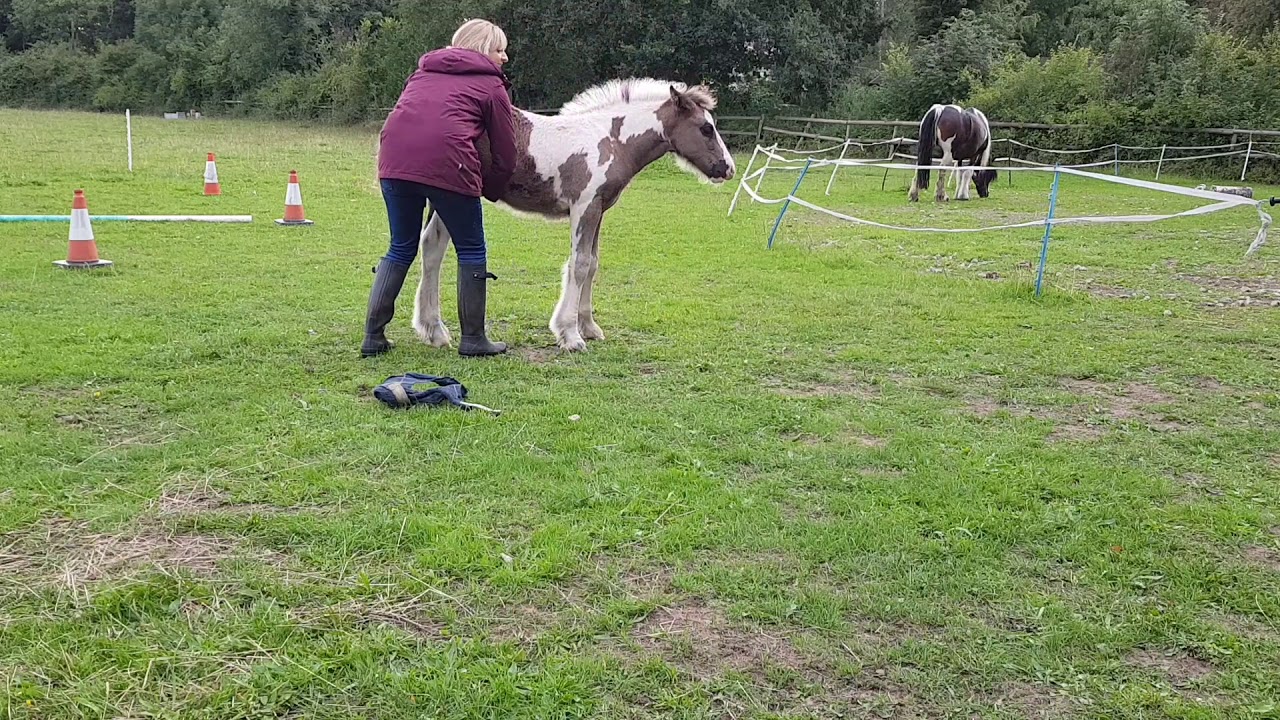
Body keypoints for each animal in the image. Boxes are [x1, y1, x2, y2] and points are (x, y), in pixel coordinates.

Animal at [411, 78, 736, 352]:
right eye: (705, 128)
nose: (728, 168)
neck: (610, 141)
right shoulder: (584, 206)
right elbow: (578, 265)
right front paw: (570, 334)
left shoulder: (599, 209)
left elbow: (592, 263)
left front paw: (589, 327)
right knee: (434, 246)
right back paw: (436, 329)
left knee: (432, 246)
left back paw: (433, 330)